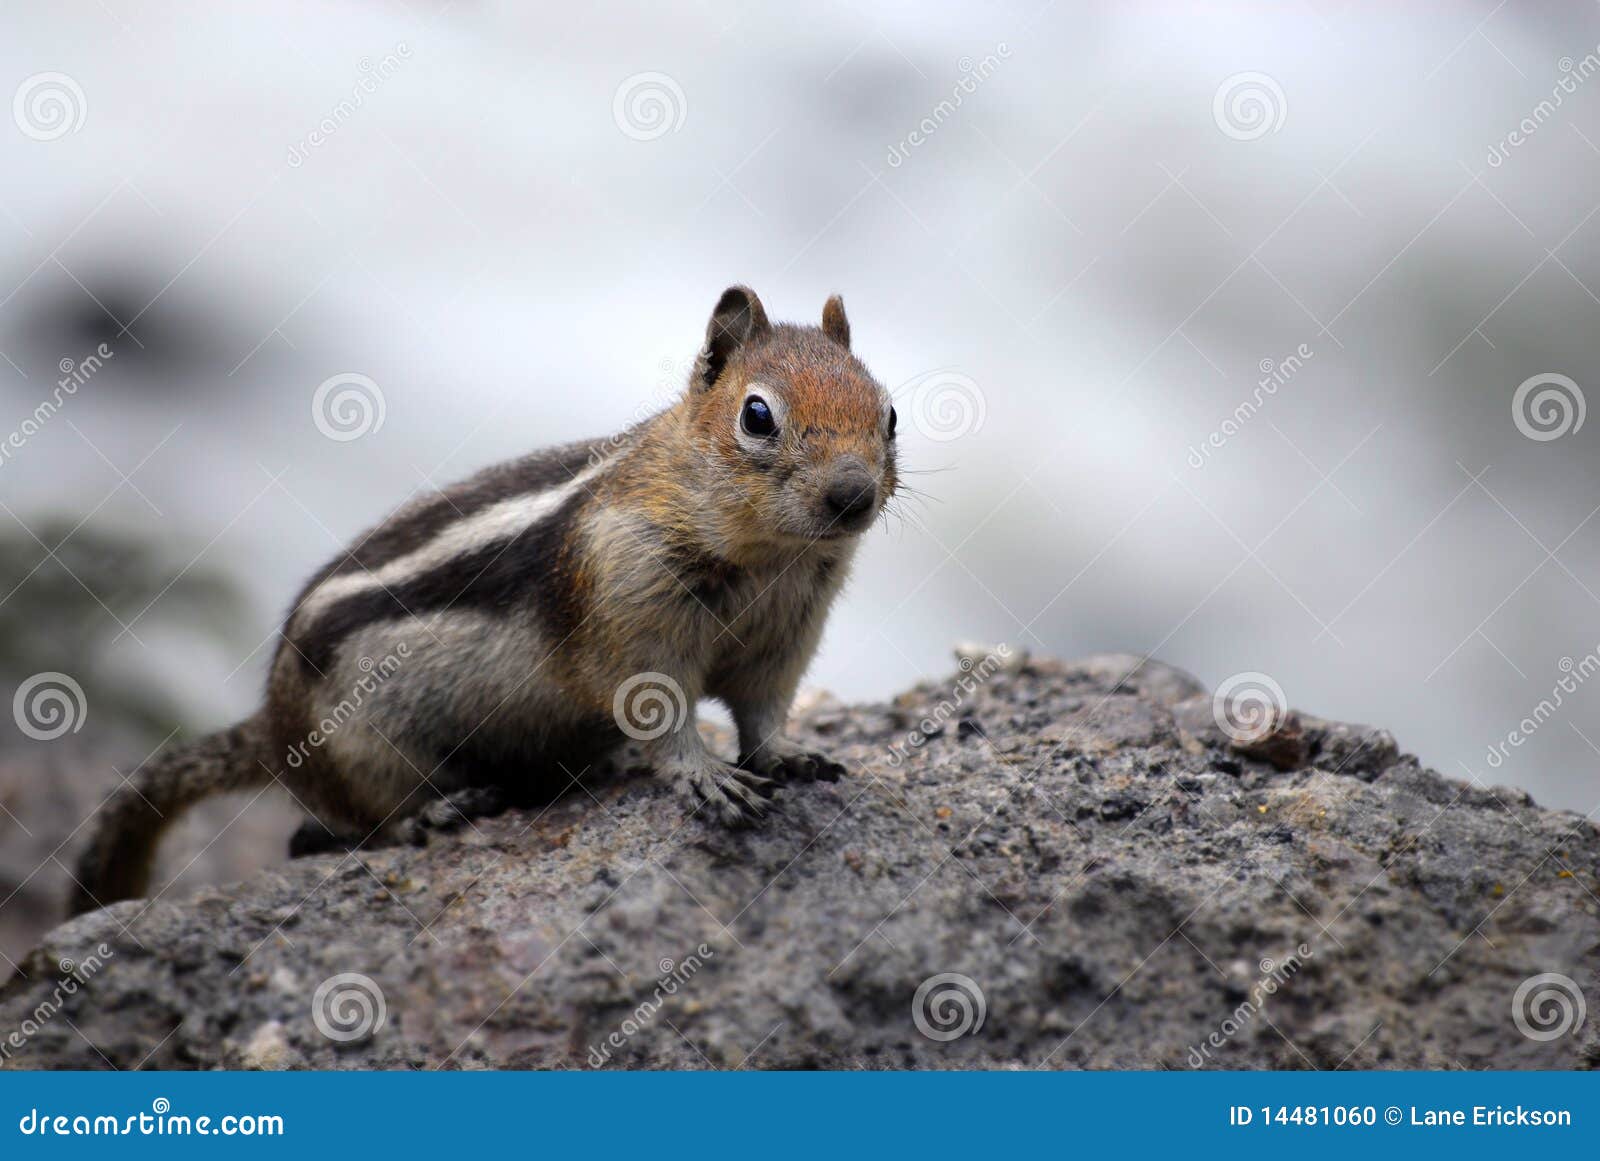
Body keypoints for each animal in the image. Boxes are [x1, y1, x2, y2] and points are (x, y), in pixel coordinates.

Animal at [69, 286, 899, 916]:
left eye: (889, 413)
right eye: (757, 416)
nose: (854, 494)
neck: (768, 559)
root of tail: (269, 725)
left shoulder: (785, 637)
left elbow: (763, 710)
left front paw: (789, 754)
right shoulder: (630, 623)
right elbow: (661, 712)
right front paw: (704, 774)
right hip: (360, 748)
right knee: (354, 823)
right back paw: (433, 812)